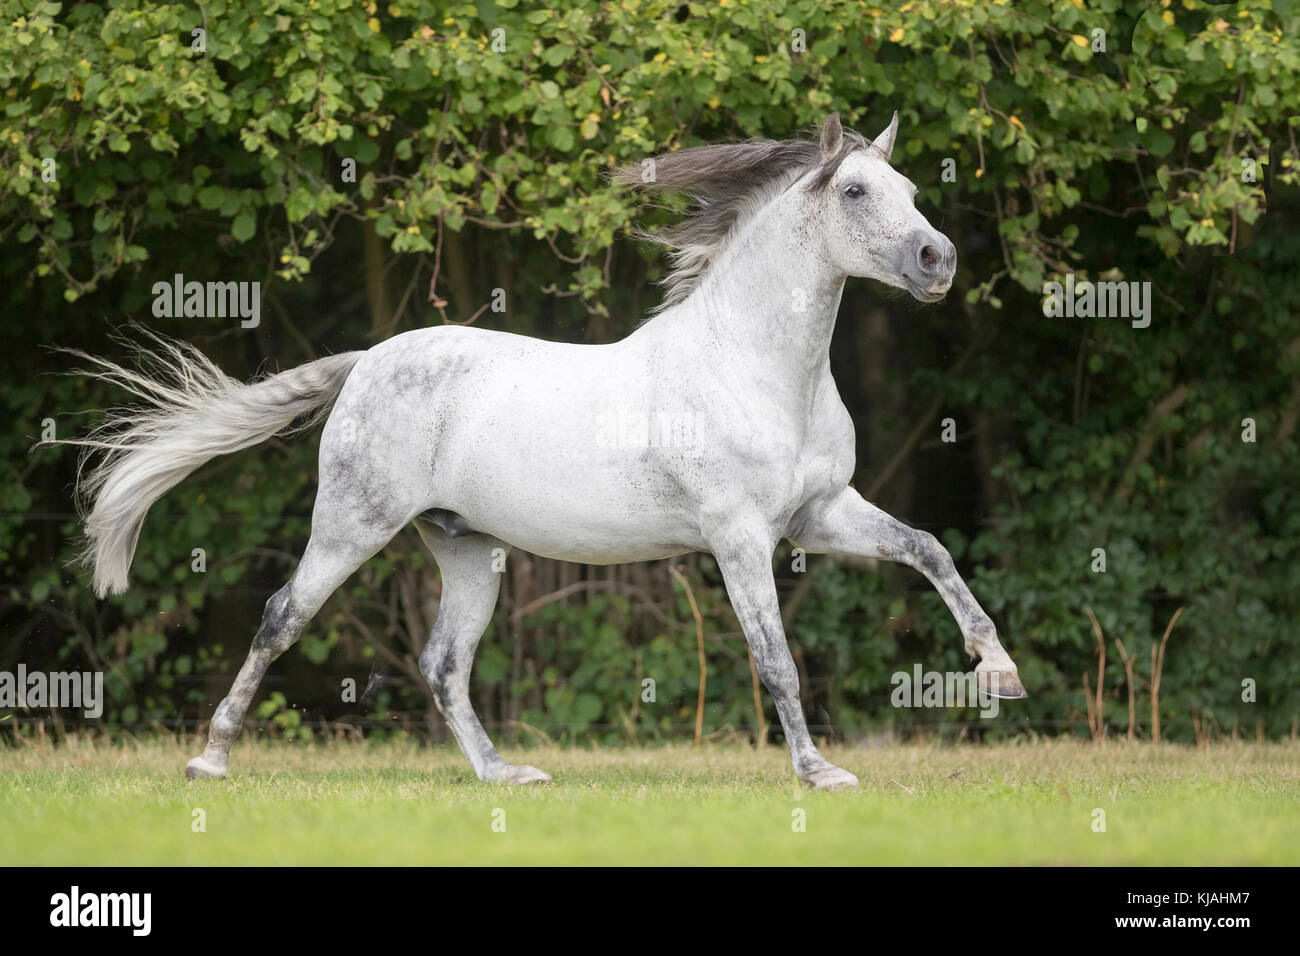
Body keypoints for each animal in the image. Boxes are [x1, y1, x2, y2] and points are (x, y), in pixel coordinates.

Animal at [57, 111, 1025, 790]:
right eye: (857, 192)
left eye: (910, 185)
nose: (937, 260)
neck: (753, 366)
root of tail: (368, 360)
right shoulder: (742, 538)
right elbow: (777, 660)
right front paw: (820, 773)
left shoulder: (819, 517)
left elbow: (930, 550)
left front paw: (998, 674)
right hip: (352, 525)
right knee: (281, 618)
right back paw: (210, 760)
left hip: (466, 548)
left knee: (444, 664)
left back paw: (505, 775)